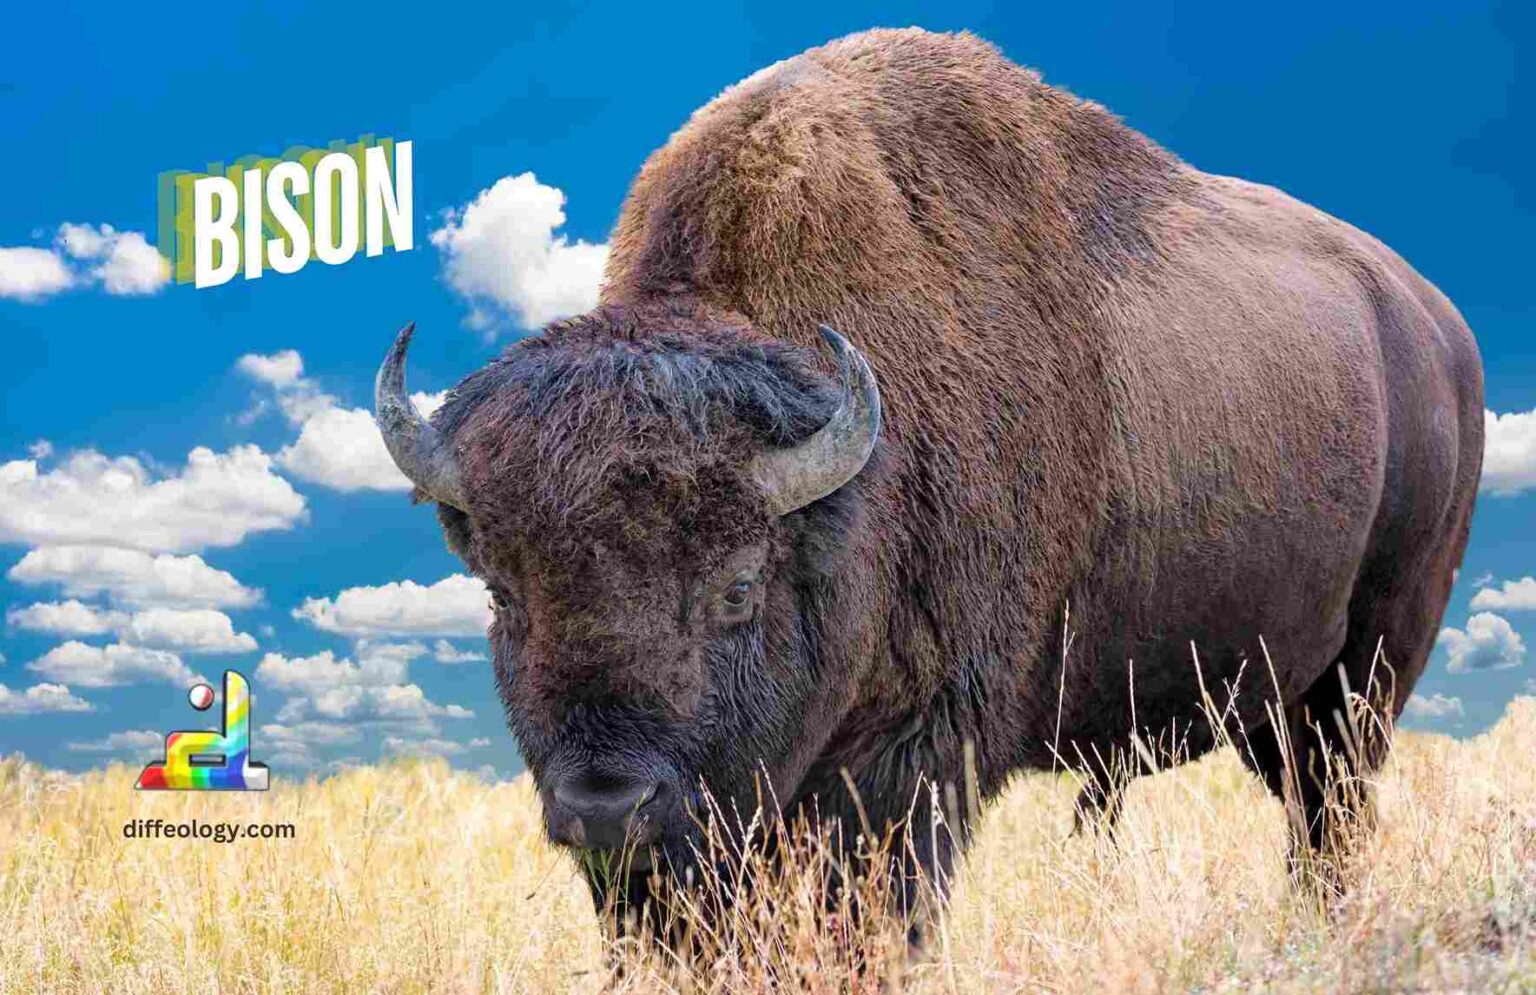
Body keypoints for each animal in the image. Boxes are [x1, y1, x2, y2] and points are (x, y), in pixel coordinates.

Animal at [376, 29, 1483, 926]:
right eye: (503, 592)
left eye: (737, 586)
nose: (605, 804)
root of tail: (1437, 324)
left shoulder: (912, 758)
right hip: (1271, 695)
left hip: (1369, 667)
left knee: (1332, 807)